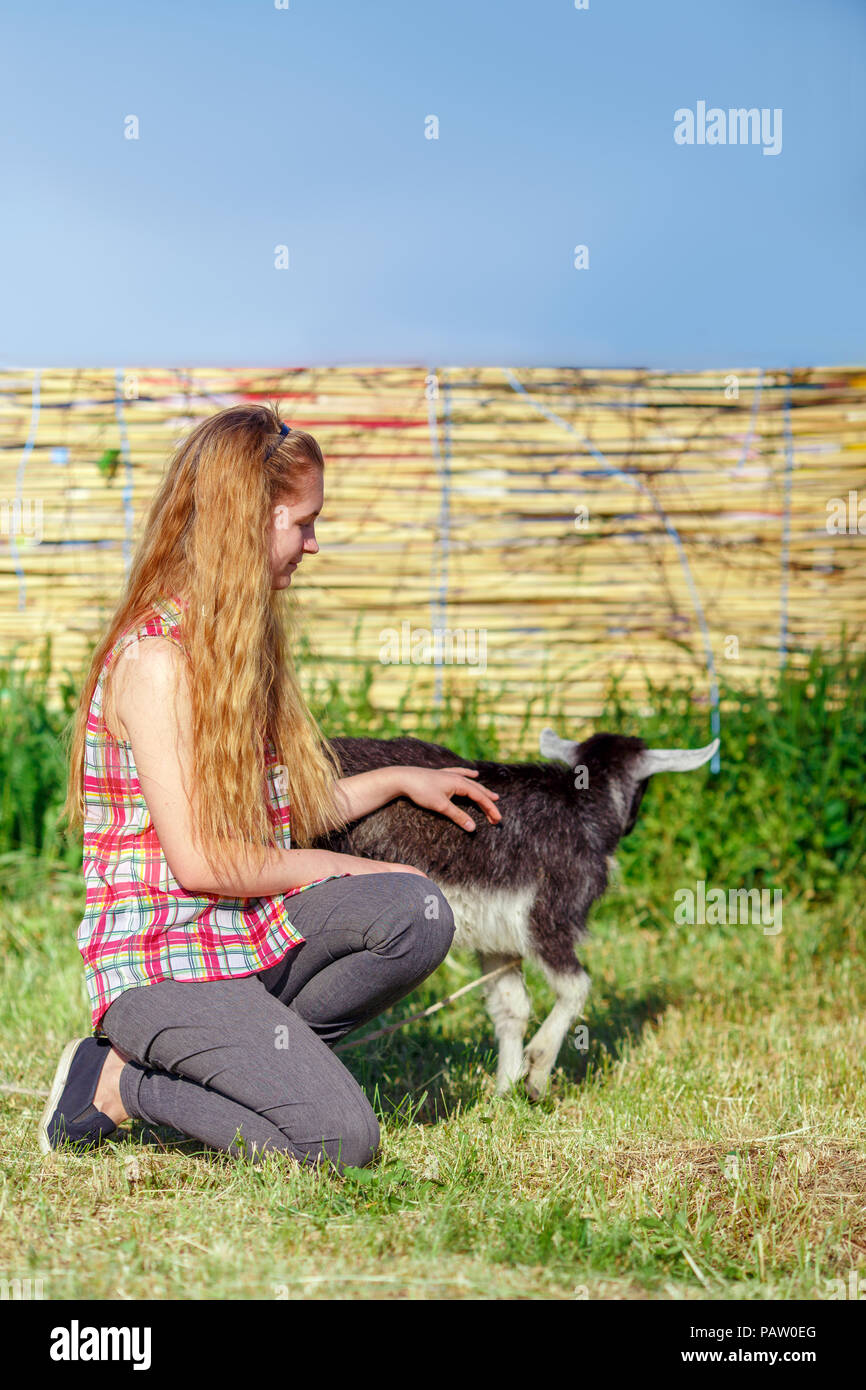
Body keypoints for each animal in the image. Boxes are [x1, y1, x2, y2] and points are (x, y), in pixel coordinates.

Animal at [314, 728, 719, 1099]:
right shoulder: (548, 917)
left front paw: (505, 1094)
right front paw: (536, 1075)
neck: (582, 807)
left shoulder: (497, 936)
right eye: (645, 786)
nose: (632, 822)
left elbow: (511, 1009)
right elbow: (576, 987)